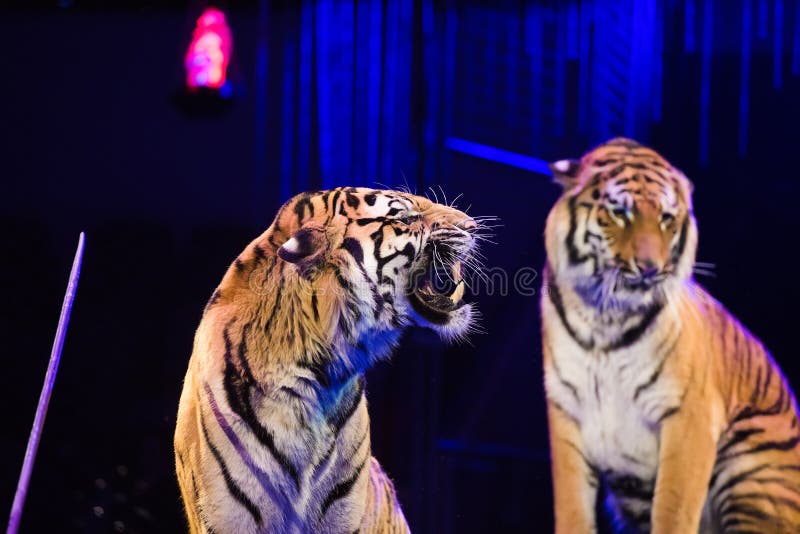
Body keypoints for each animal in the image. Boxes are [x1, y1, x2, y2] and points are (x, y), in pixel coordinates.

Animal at [541, 137, 800, 533]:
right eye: (620, 212)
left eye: (666, 217)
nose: (650, 269)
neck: (604, 316)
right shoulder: (565, 410)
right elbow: (571, 509)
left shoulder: (688, 415)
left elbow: (673, 509)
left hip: (750, 474)